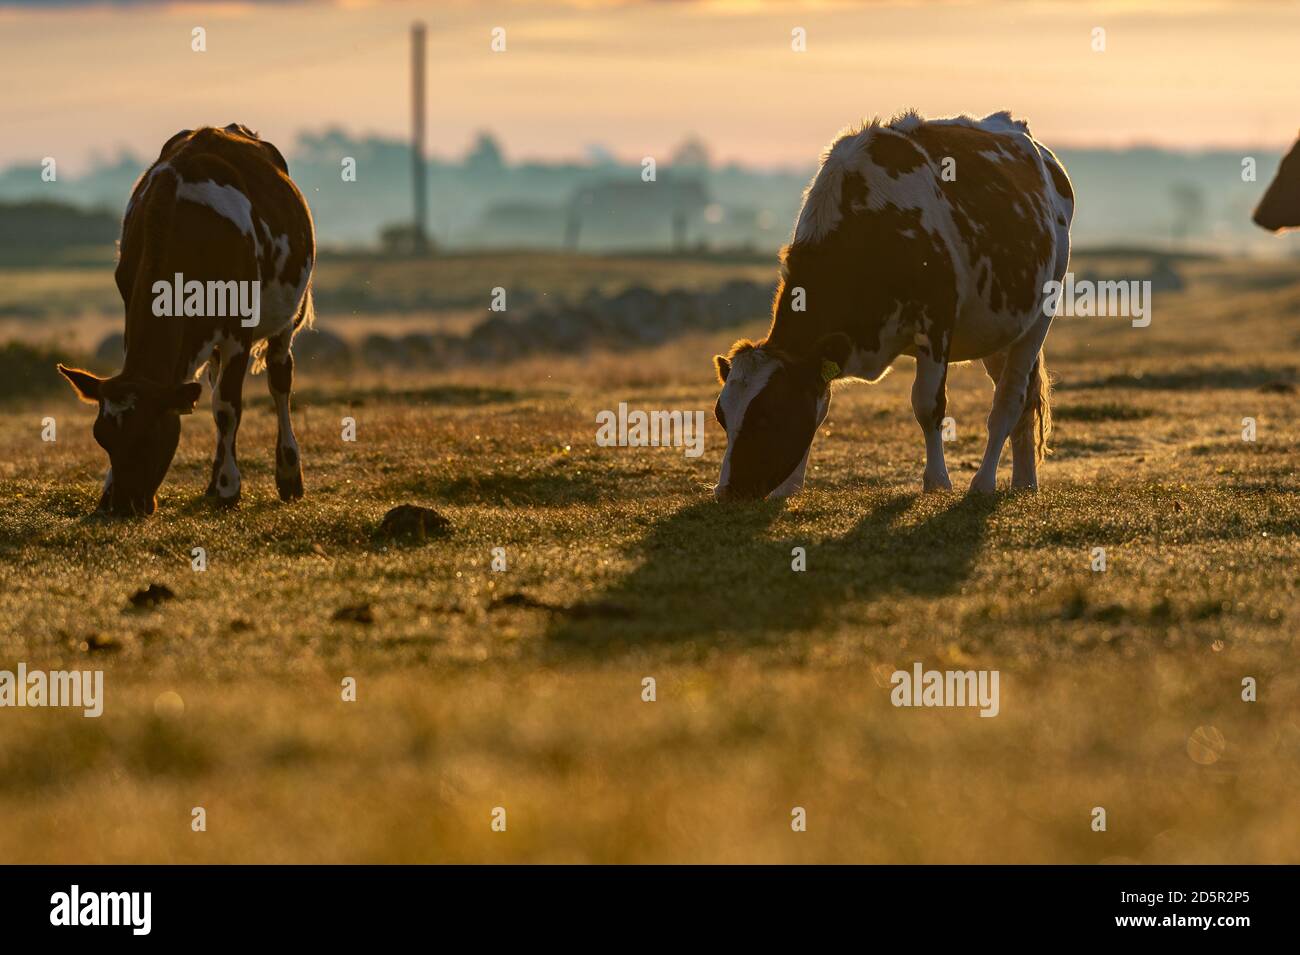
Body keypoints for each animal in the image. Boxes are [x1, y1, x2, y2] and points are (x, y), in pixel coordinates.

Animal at [57, 124, 316, 516]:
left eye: (150, 433)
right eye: (102, 437)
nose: (123, 505)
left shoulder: (238, 328)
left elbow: (227, 407)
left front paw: (229, 488)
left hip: (288, 315)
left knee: (279, 379)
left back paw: (288, 474)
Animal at [712, 110, 1074, 501]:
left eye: (767, 414)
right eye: (721, 416)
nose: (725, 491)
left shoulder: (935, 322)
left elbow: (928, 405)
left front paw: (937, 481)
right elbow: (819, 405)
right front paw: (789, 487)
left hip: (1039, 315)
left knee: (1009, 399)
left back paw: (983, 482)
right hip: (999, 326)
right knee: (1024, 400)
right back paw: (1024, 481)